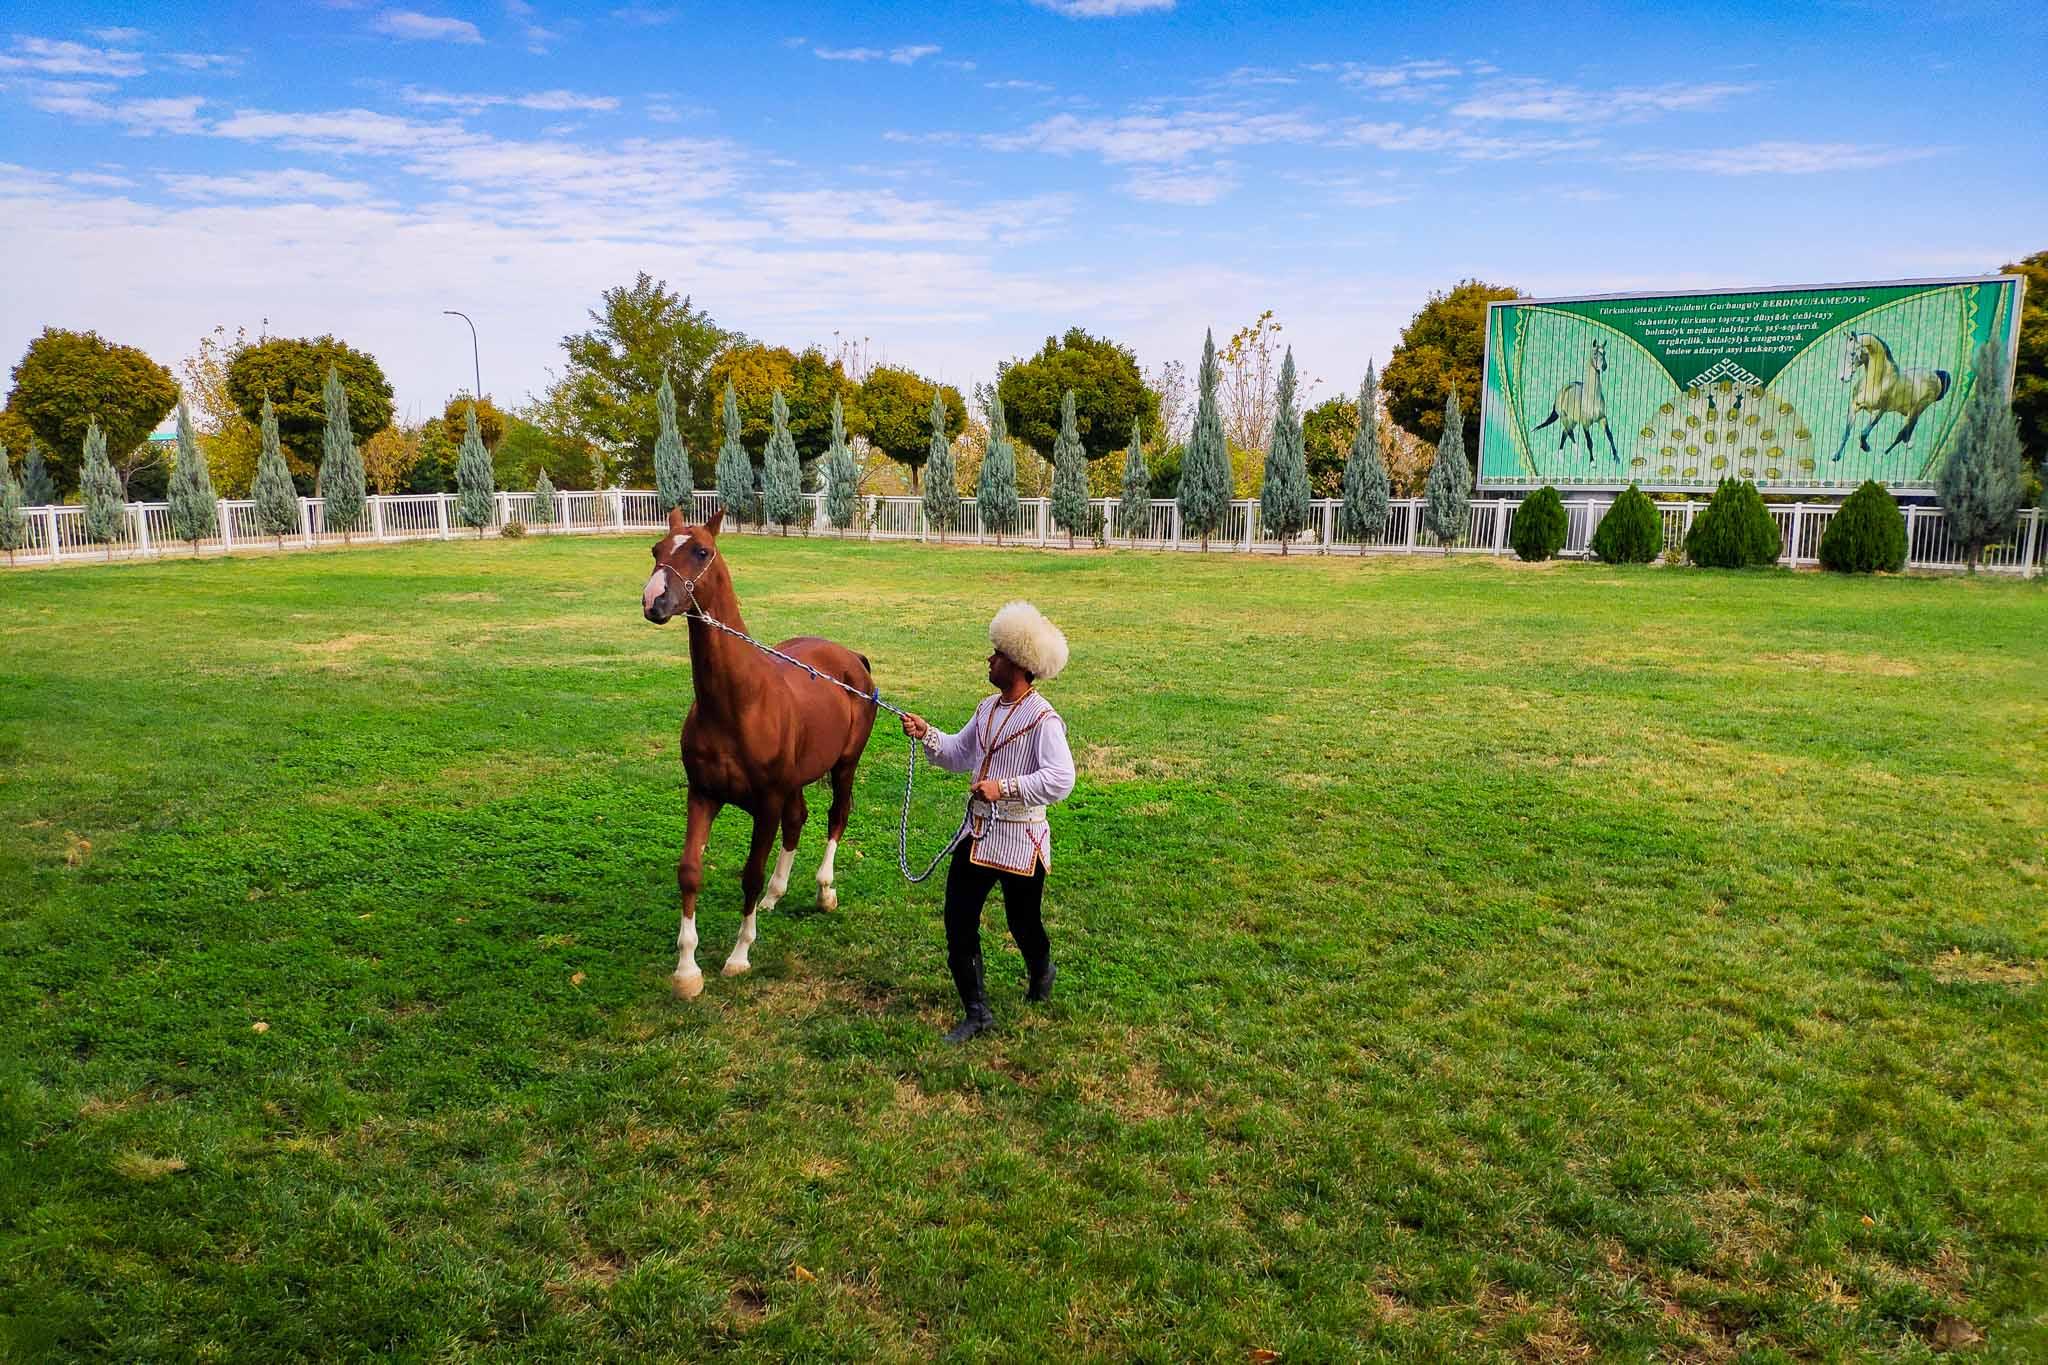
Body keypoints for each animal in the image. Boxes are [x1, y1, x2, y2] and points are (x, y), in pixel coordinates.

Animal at [641, 507, 877, 999]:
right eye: (656, 549)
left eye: (701, 551)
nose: (654, 600)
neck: (737, 702)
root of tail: (853, 658)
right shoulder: (703, 794)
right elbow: (689, 871)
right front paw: (687, 971)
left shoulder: (766, 803)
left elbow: (749, 872)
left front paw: (738, 956)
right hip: (798, 779)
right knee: (799, 819)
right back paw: (775, 893)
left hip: (844, 766)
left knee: (836, 816)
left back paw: (824, 891)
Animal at [1834, 332, 1950, 462]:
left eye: (1853, 353)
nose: (1843, 377)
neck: (1876, 381)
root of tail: (1936, 374)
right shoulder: (1854, 406)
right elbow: (1846, 433)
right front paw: (1836, 456)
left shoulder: (1879, 411)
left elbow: (1863, 433)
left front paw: (1866, 447)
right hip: (1906, 411)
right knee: (1907, 431)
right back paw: (1908, 445)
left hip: (1917, 410)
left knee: (1904, 431)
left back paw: (1886, 452)